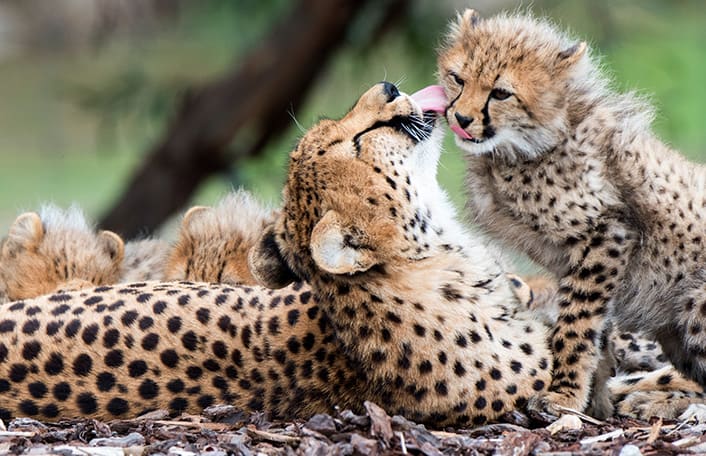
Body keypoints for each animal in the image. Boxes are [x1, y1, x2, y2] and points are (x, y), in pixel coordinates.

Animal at [437, 9, 706, 418]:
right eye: (458, 78)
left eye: (501, 93)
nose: (461, 118)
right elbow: (597, 330)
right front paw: (595, 404)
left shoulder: (608, 233)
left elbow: (575, 323)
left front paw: (563, 395)